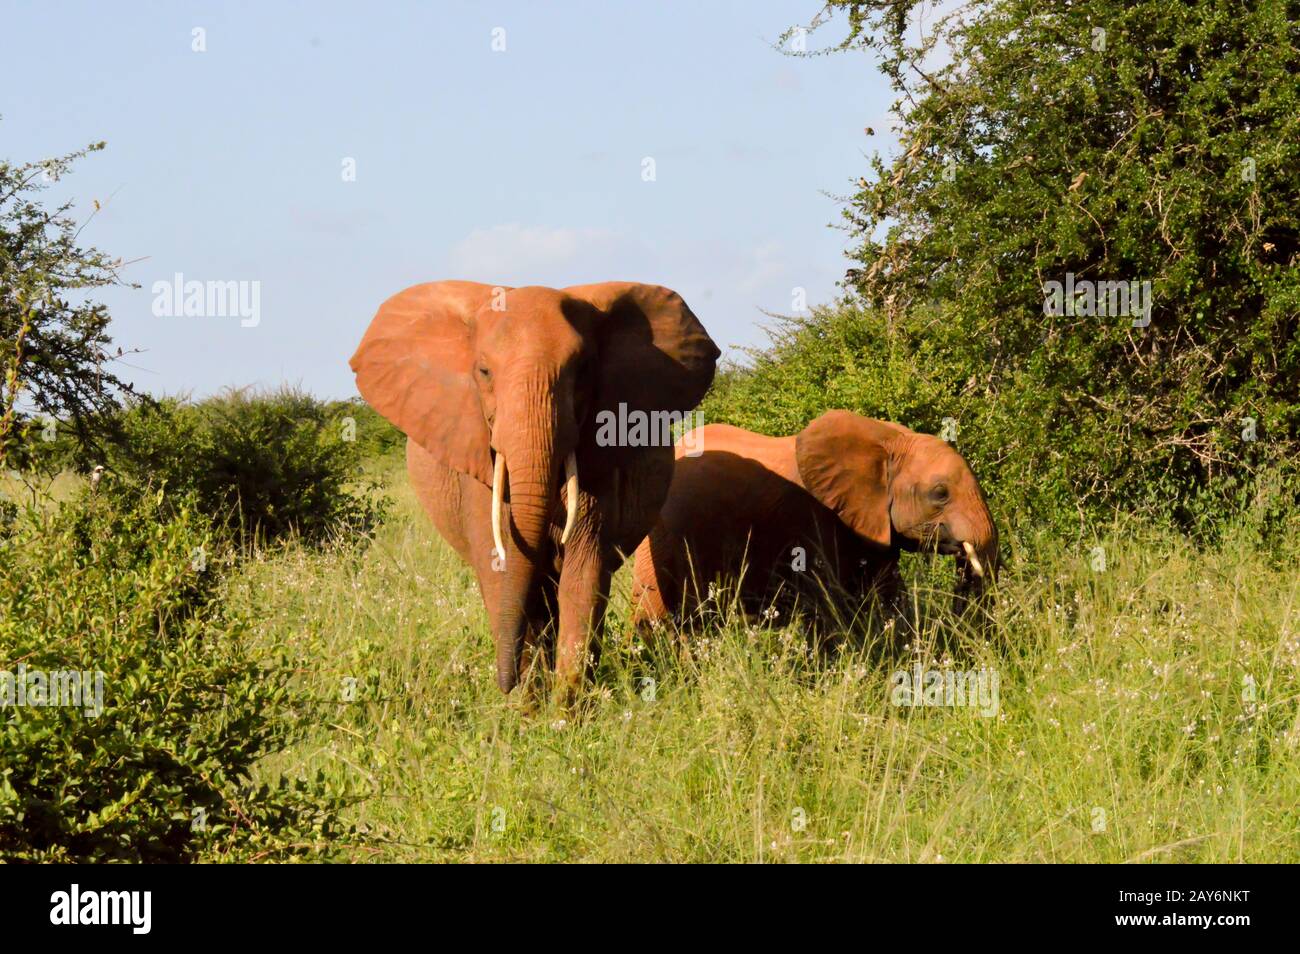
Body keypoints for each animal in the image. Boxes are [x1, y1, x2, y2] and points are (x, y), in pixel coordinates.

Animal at [350, 281, 719, 703]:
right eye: (484, 371)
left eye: (583, 370)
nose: (504, 683)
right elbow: (502, 572)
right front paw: (529, 706)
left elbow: (583, 570)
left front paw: (565, 710)